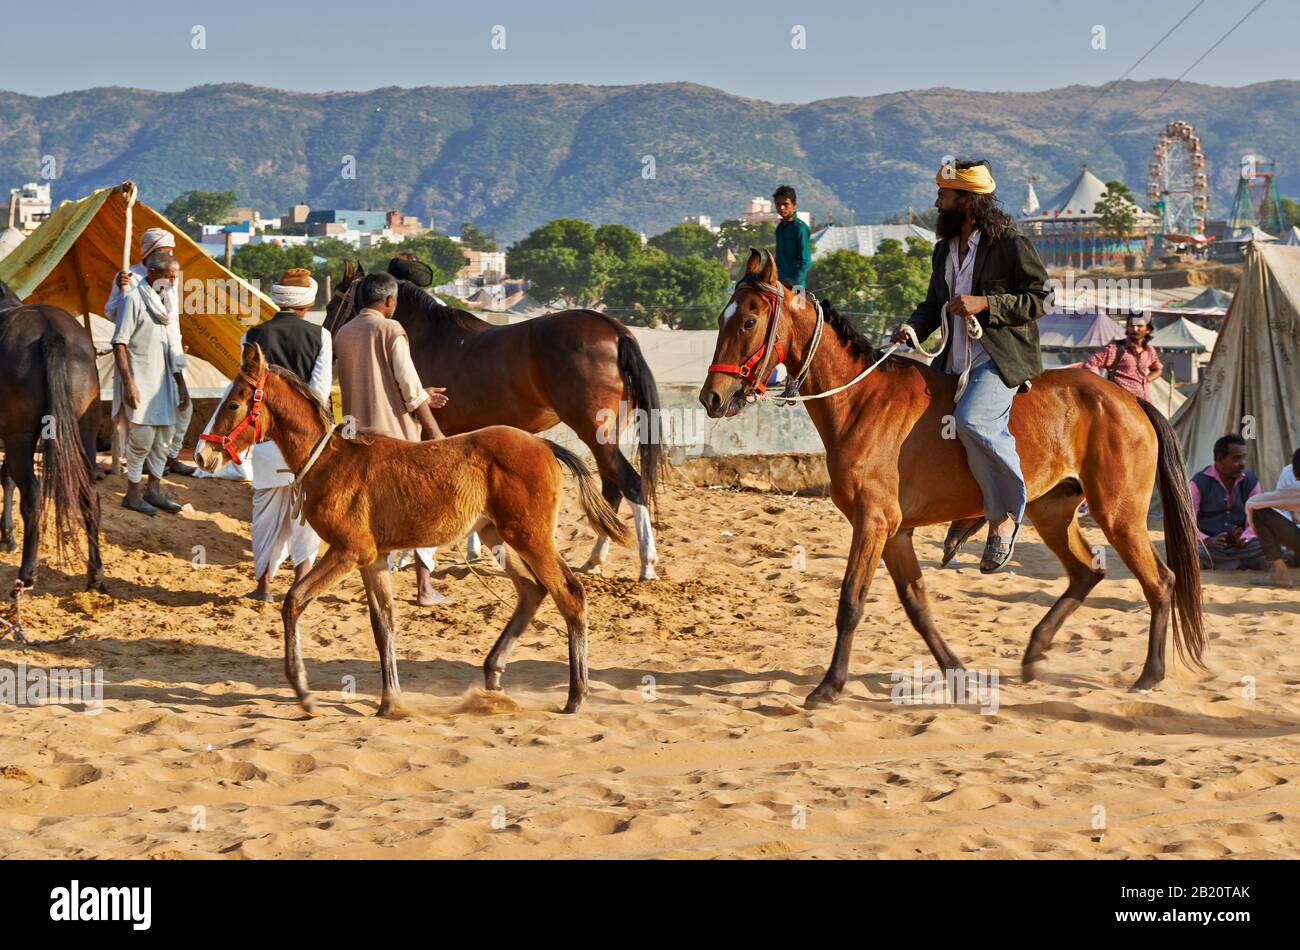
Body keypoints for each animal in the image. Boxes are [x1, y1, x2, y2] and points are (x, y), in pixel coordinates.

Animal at [0, 279, 104, 593]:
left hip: (19, 437)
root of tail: (50, 331)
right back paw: (95, 574)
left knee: (32, 496)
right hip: (84, 433)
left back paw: (26, 574)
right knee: (89, 494)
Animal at [195, 342, 632, 717]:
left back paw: (576, 695)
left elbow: (294, 601)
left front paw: (303, 692)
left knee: (569, 593)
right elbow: (383, 625)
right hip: (496, 536)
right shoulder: (373, 558)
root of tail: (544, 446)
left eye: (233, 403)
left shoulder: (348, 551)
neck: (331, 461)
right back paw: (493, 675)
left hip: (530, 536)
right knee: (531, 591)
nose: (202, 454)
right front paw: (390, 700)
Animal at [324, 262, 663, 579]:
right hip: (607, 433)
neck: (428, 337)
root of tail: (614, 330)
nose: (330, 348)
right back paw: (595, 558)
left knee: (630, 483)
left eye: (331, 305)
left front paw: (410, 556)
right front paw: (473, 551)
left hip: (593, 430)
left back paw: (646, 563)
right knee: (612, 487)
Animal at [699, 250, 1205, 708]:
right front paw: (959, 673)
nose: (712, 397)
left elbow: (850, 603)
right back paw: (1035, 653)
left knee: (1160, 581)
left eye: (748, 321)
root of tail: (1130, 401)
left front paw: (829, 686)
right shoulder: (896, 532)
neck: (862, 402)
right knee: (1087, 572)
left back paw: (1149, 675)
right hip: (1052, 511)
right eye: (724, 318)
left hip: (1118, 514)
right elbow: (917, 605)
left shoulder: (873, 522)